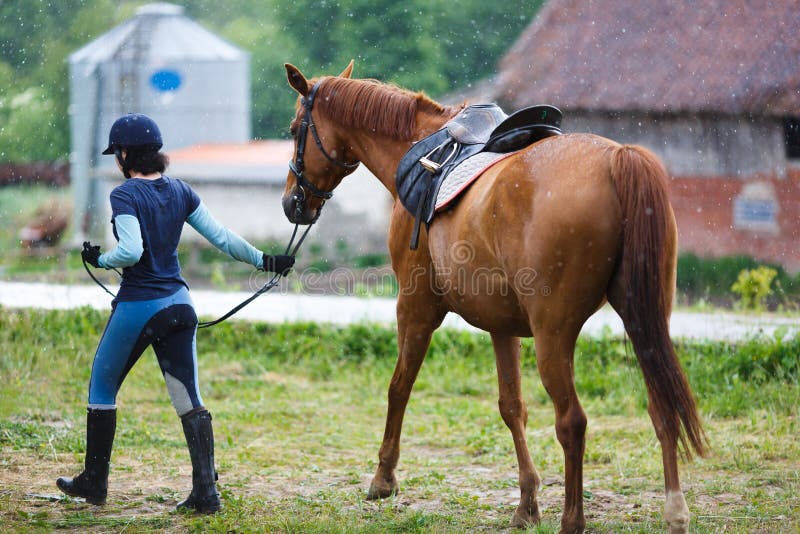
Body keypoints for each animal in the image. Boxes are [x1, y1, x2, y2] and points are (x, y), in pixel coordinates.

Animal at [280, 61, 706, 534]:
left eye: (295, 129)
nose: (292, 201)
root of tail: (617, 159)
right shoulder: (503, 326)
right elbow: (512, 407)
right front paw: (527, 503)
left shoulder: (415, 308)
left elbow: (399, 386)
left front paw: (384, 477)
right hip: (643, 319)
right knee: (661, 407)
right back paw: (675, 511)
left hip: (554, 335)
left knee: (572, 422)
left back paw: (572, 519)